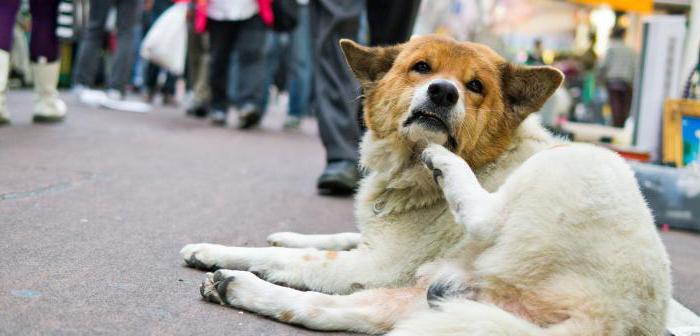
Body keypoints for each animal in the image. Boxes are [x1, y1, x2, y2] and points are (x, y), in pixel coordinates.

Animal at [180, 35, 672, 334]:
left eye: (475, 86)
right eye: (421, 67)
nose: (443, 92)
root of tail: (612, 322)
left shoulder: (372, 264)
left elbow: (299, 257)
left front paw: (241, 249)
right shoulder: (376, 254)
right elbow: (334, 236)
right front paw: (252, 243)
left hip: (586, 161)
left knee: (487, 218)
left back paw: (446, 163)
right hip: (429, 307)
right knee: (321, 310)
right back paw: (234, 287)